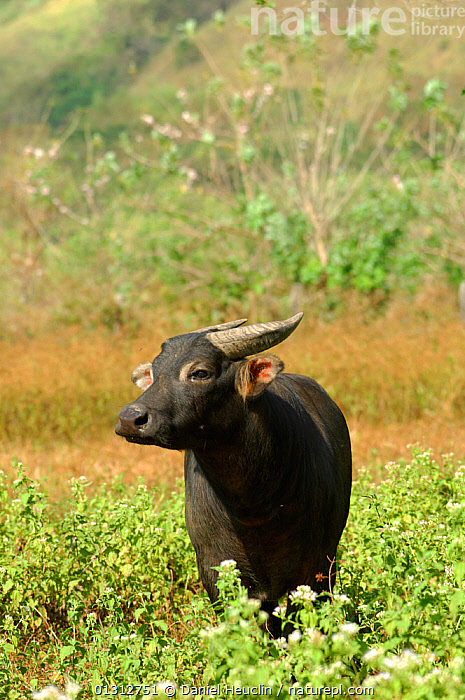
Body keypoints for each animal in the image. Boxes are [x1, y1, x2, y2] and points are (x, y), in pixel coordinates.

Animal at [116, 313, 351, 635]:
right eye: (155, 370)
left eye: (200, 372)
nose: (130, 418)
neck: (254, 508)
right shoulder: (215, 572)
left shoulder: (314, 570)